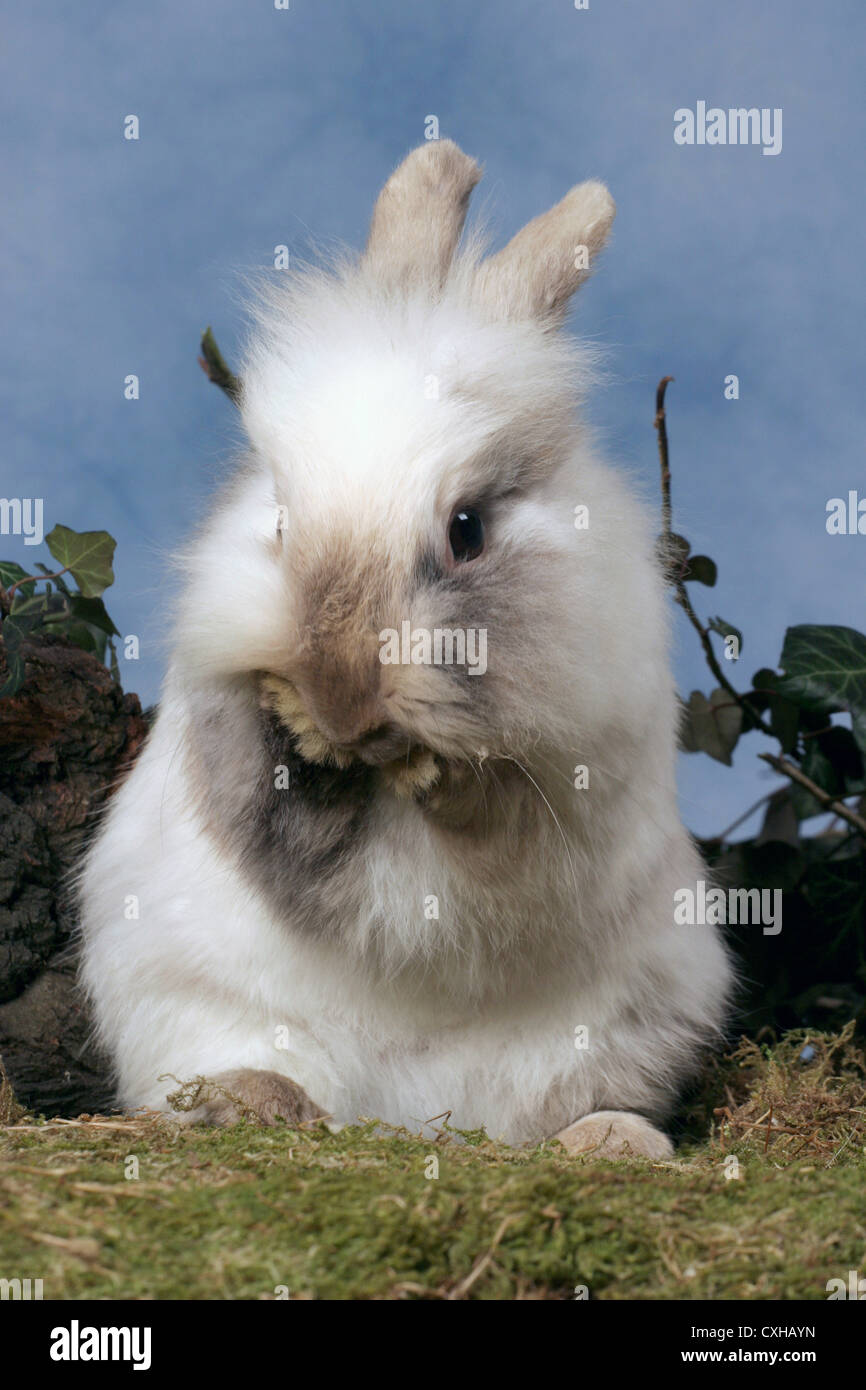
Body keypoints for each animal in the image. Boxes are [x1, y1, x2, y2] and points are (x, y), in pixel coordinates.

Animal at [78, 140, 732, 1158]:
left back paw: (611, 1140)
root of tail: (411, 1116)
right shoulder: (225, 748)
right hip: (177, 992)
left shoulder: (580, 772)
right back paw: (254, 1099)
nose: (342, 696)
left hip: (641, 1014)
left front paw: (443, 783)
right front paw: (314, 753)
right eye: (280, 522)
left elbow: (501, 834)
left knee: (561, 1109)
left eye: (467, 530)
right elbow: (279, 827)